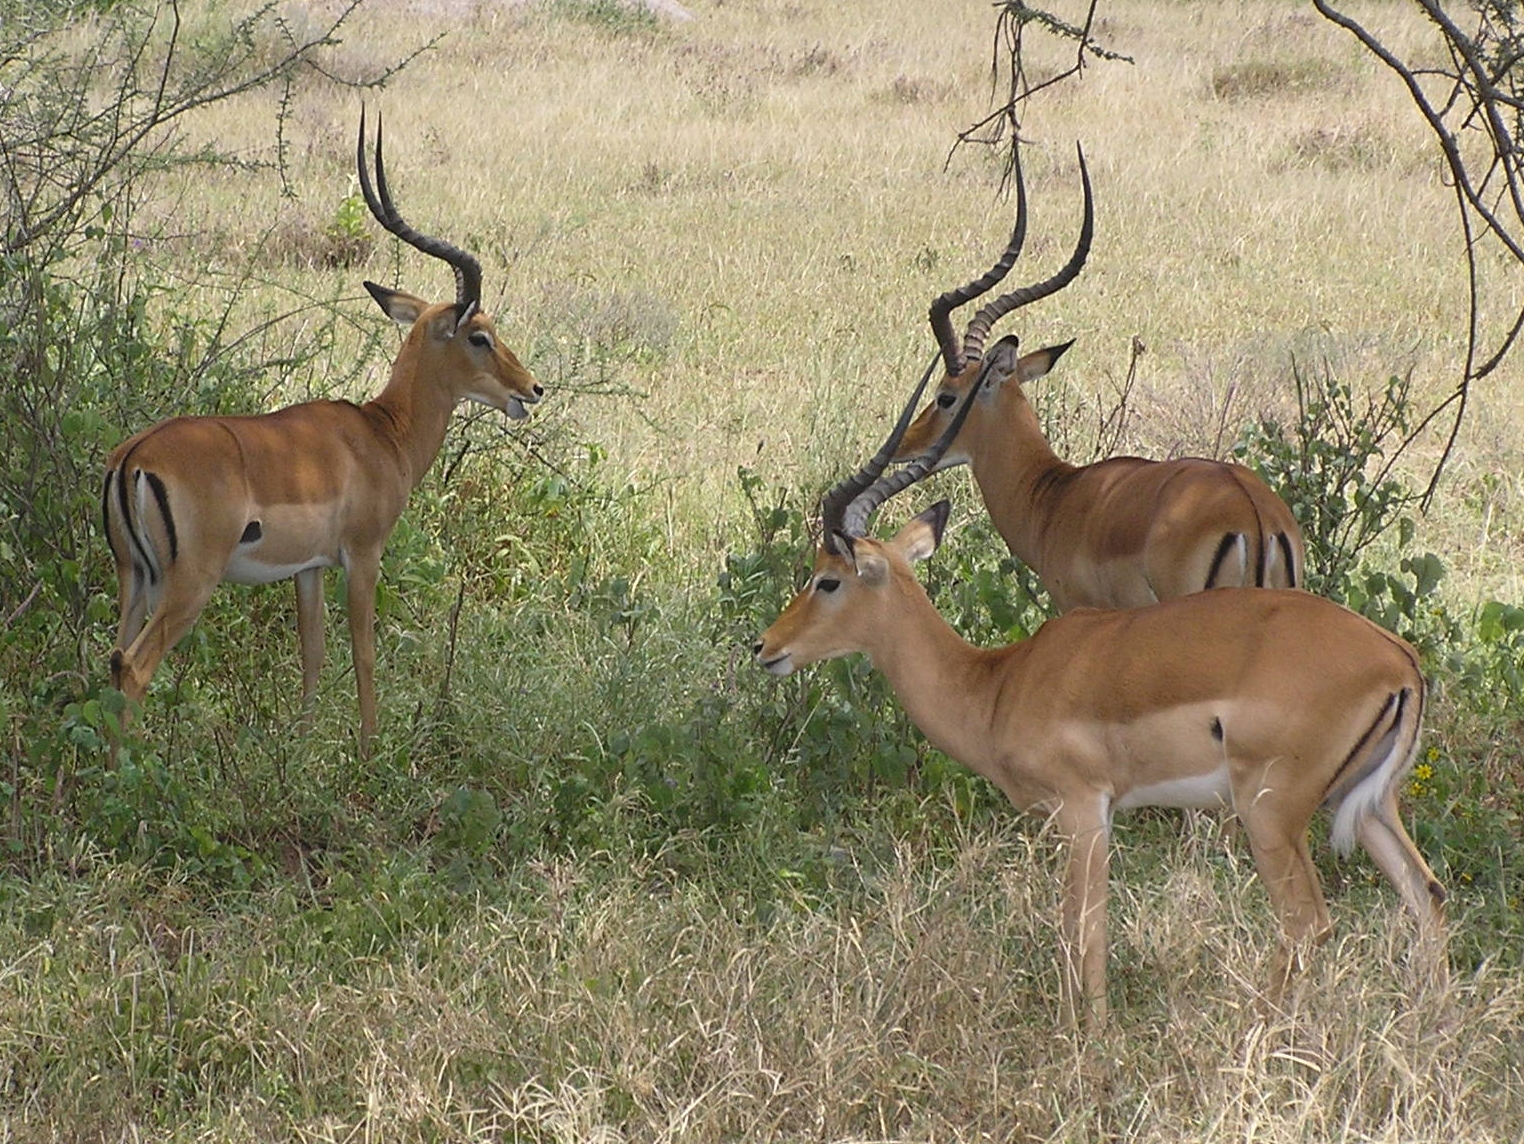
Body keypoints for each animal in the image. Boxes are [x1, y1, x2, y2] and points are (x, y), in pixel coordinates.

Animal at [102, 111, 543, 757]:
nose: (532, 389)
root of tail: (133, 456)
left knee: (112, 661)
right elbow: (363, 653)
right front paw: (369, 750)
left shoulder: (307, 569)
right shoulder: (363, 555)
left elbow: (311, 655)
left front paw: (303, 750)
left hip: (134, 578)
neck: (382, 434)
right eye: (479, 334)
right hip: (189, 584)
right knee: (134, 668)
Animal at [753, 377, 1446, 1028]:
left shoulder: (1081, 812)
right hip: (1369, 805)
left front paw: (1085, 1036)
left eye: (827, 579)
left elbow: (1079, 929)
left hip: (1270, 812)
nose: (765, 647)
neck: (999, 683)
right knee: (1428, 896)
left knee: (1307, 923)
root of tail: (1398, 661)